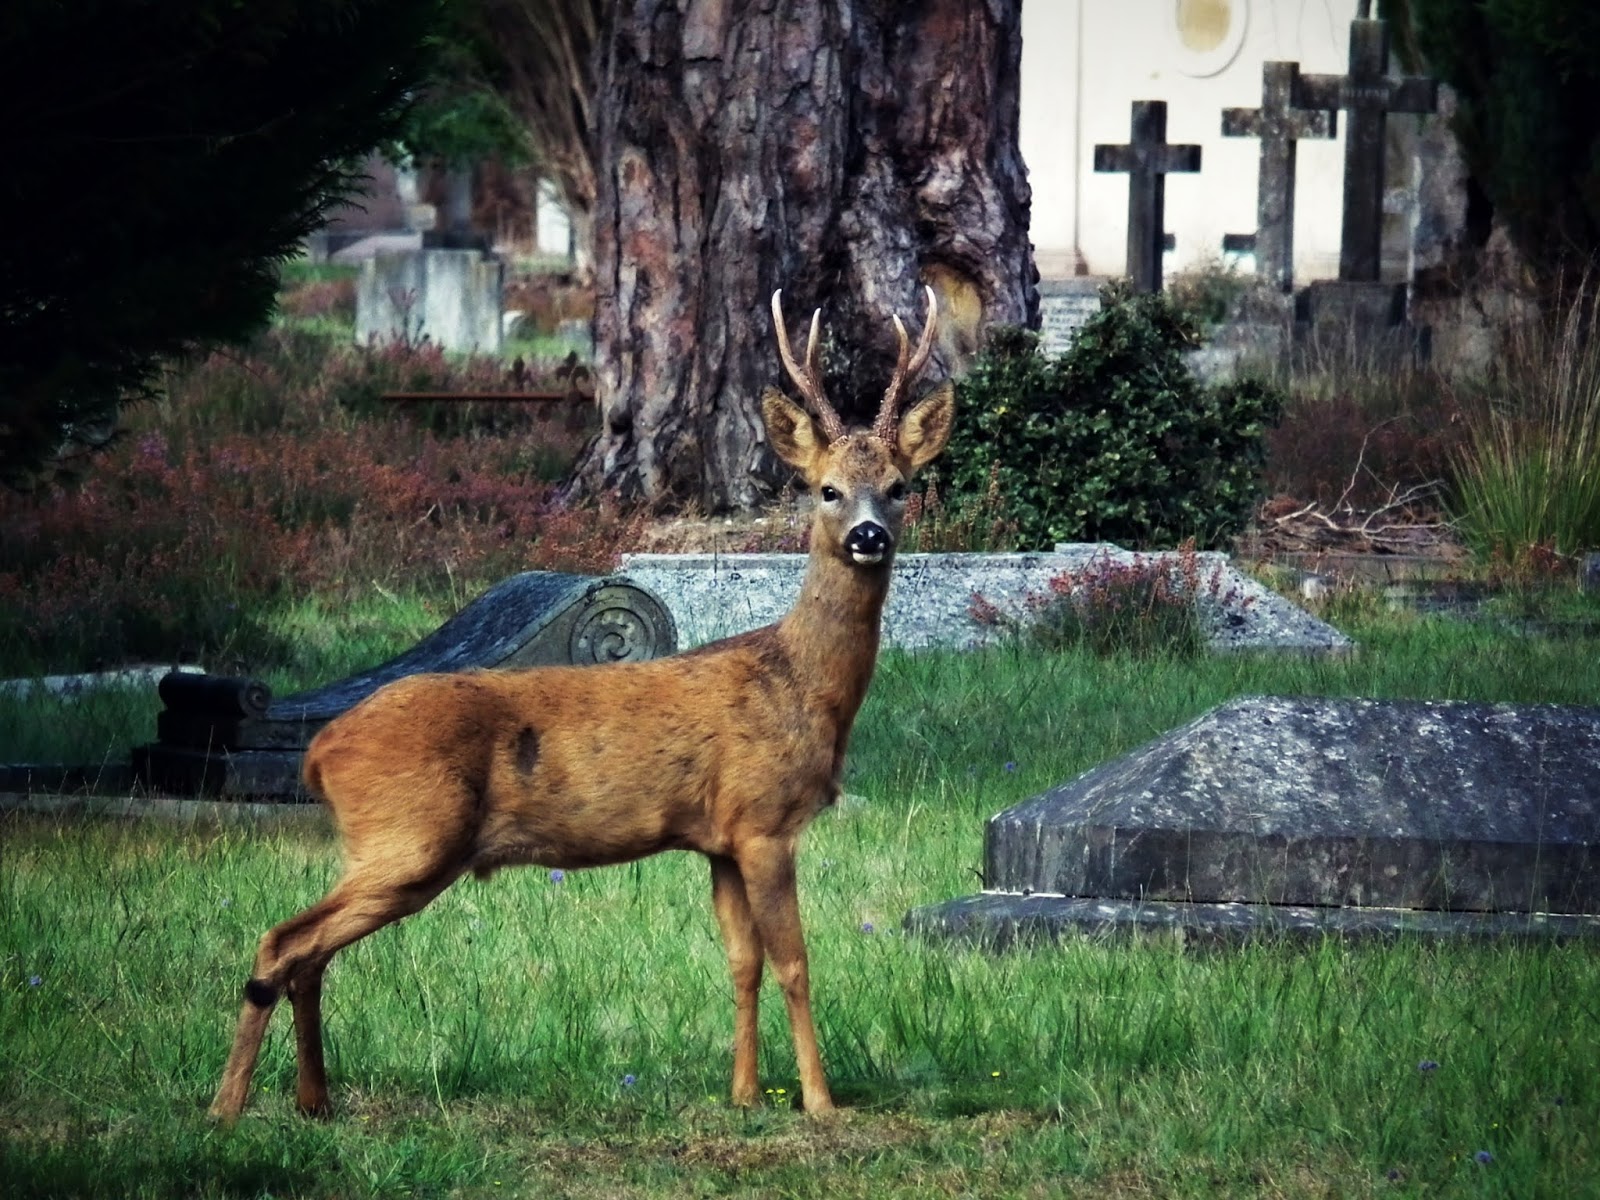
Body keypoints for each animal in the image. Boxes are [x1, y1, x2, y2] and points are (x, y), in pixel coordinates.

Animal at [208, 286, 954, 1123]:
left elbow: (741, 962)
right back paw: (228, 1106)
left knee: (307, 954)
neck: (799, 683)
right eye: (826, 489)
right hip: (407, 839)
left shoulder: (718, 838)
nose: (869, 536)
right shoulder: (764, 821)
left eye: (899, 487)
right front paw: (821, 1102)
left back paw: (313, 1101)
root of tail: (320, 750)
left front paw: (743, 1094)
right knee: (282, 943)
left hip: (391, 849)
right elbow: (794, 961)